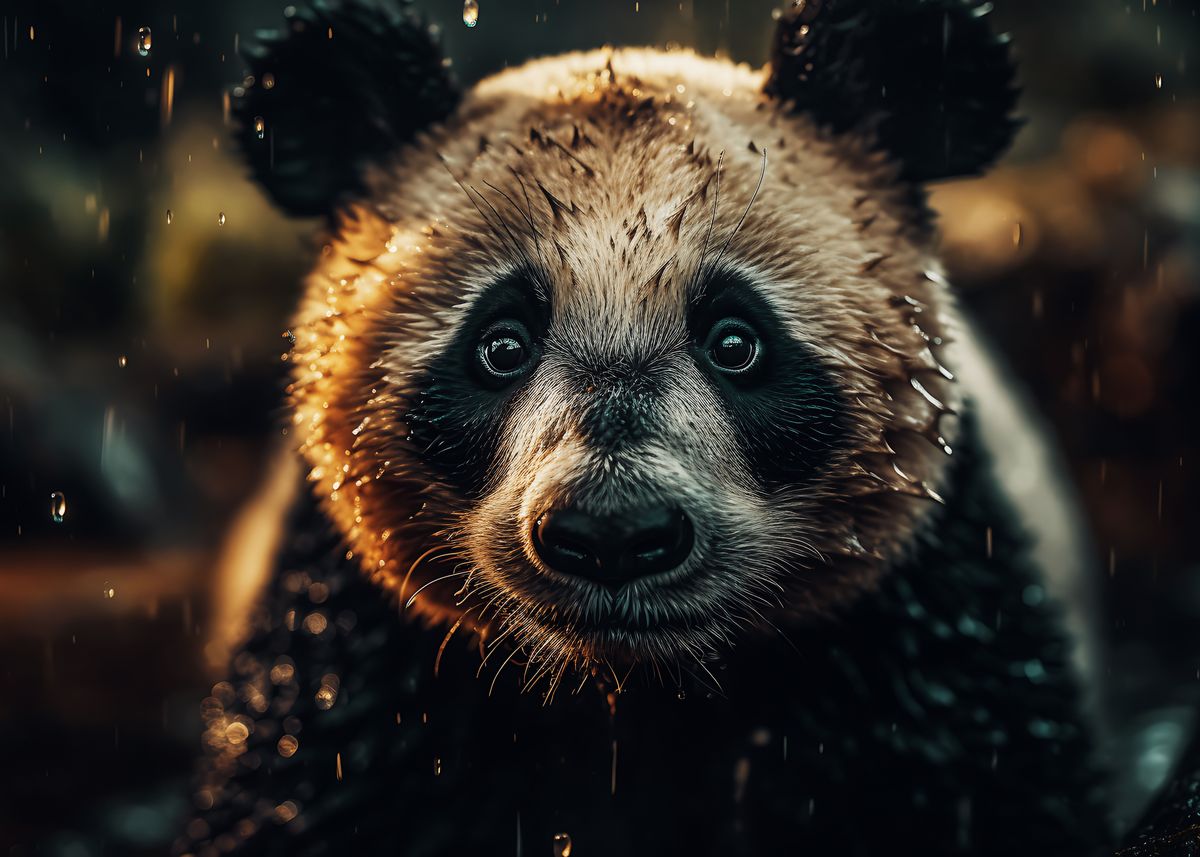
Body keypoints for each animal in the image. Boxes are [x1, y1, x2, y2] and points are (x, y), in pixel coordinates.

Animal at [176, 1, 1130, 854]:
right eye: (500, 344)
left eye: (736, 341)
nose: (612, 533)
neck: (629, 692)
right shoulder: (357, 663)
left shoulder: (924, 629)